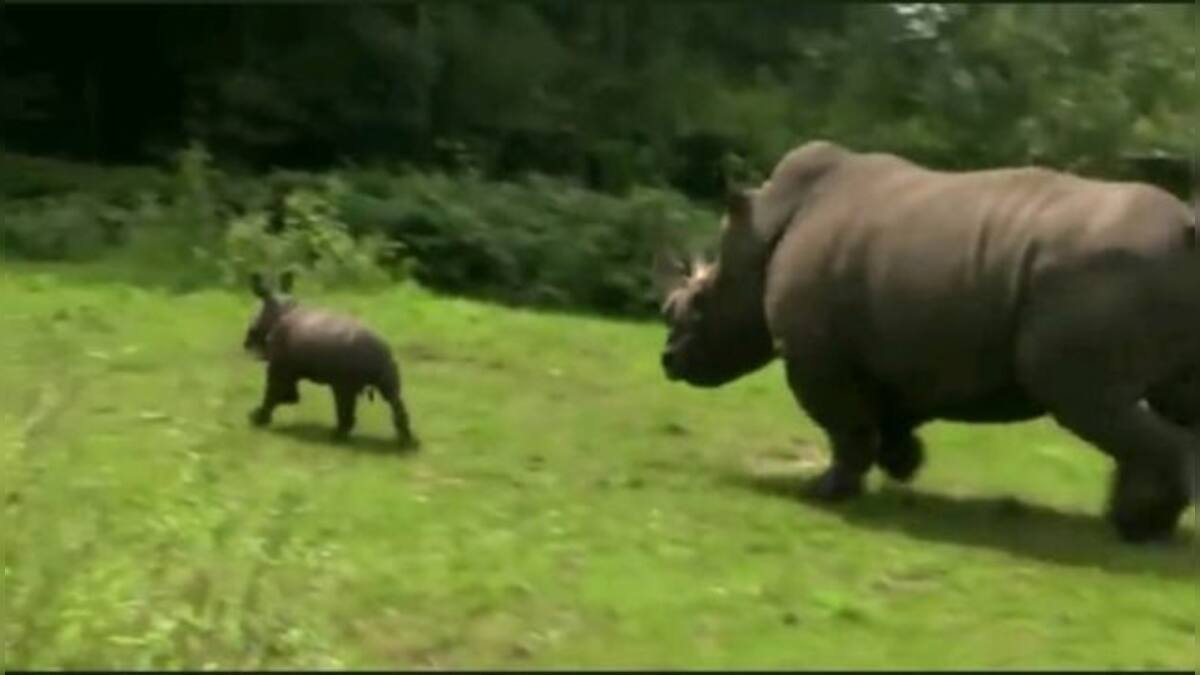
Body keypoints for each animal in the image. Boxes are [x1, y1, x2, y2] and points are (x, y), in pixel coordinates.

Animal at [242, 271, 419, 450]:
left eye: (254, 316)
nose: (246, 342)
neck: (281, 311)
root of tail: (380, 355)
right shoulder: (288, 371)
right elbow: (288, 396)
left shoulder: (278, 369)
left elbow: (271, 396)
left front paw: (258, 417)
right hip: (388, 384)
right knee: (397, 410)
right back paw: (406, 441)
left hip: (344, 387)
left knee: (347, 416)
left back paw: (337, 436)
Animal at [657, 140, 1199, 543]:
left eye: (699, 301)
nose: (668, 361)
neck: (762, 232)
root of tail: (1188, 229)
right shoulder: (907, 348)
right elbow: (893, 412)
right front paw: (903, 464)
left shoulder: (815, 355)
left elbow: (843, 426)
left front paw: (827, 491)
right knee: (1169, 401)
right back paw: (1141, 522)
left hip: (1101, 276)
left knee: (1084, 398)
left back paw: (1137, 529)